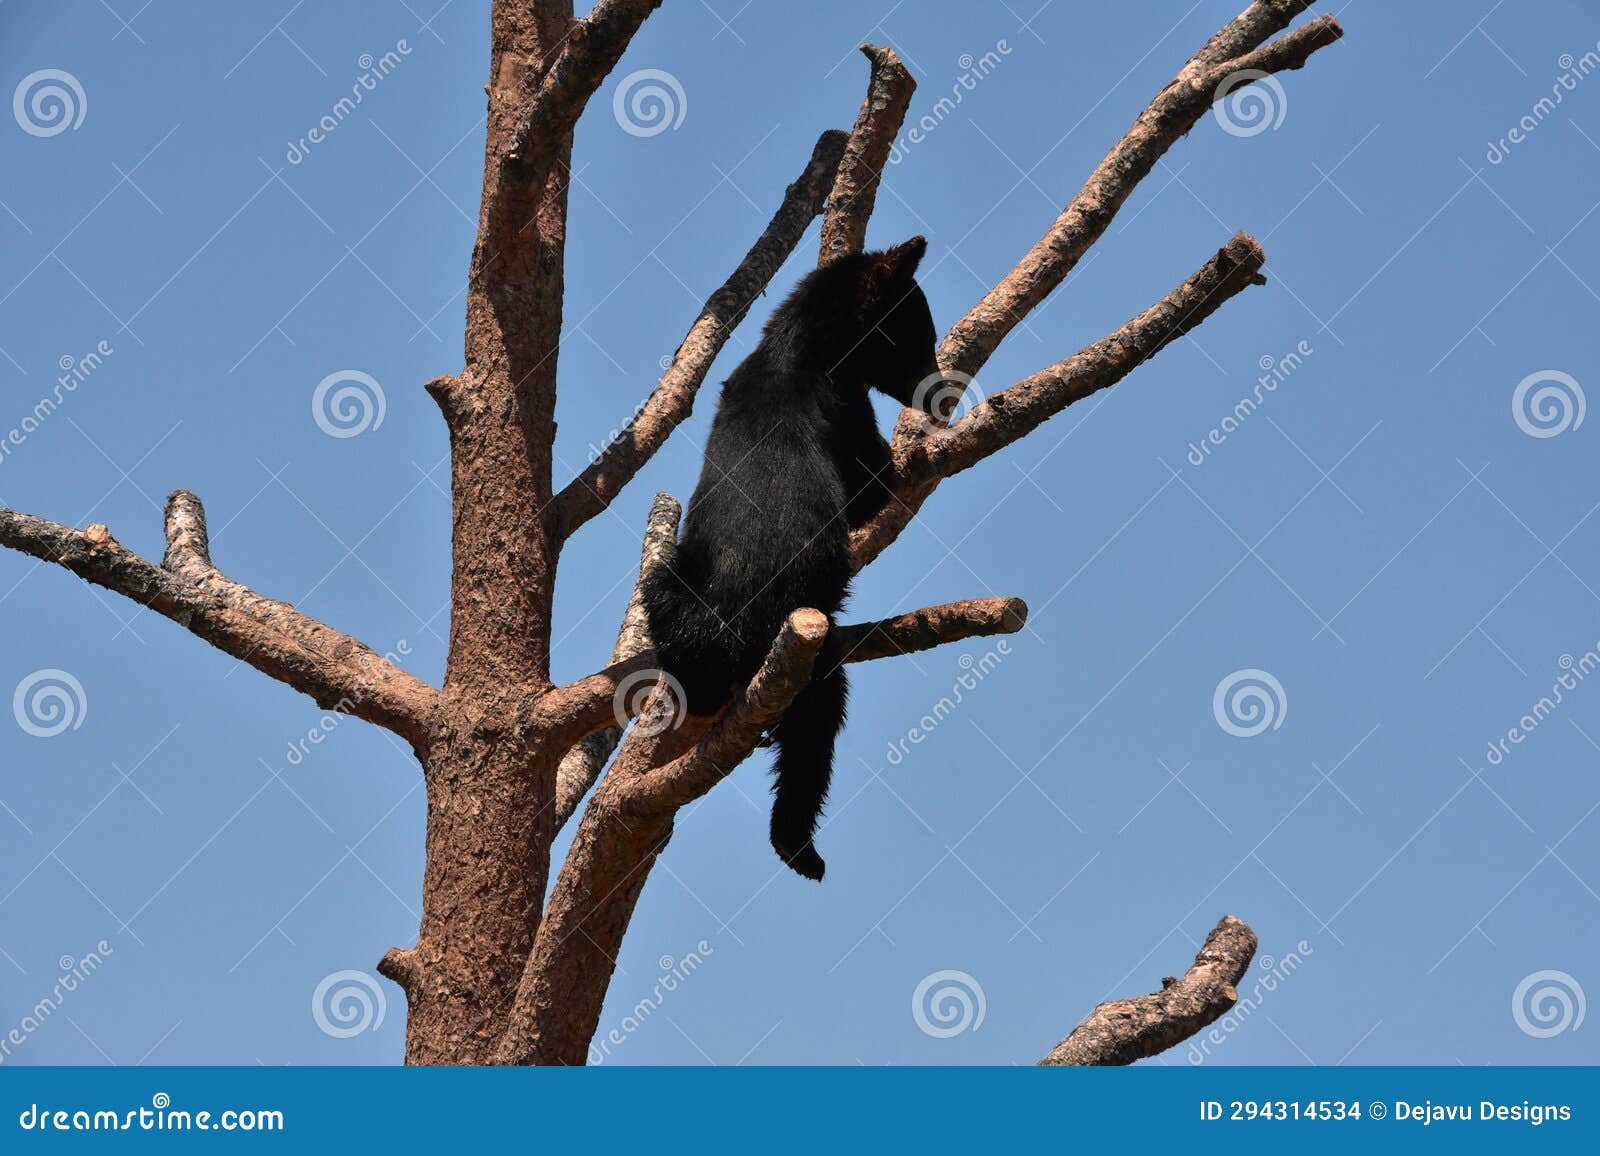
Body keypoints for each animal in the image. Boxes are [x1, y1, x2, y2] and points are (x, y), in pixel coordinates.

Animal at [642, 236, 940, 881]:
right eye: (916, 333)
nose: (943, 394)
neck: (799, 348)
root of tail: (722, 629)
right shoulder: (848, 416)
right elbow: (872, 488)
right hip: (801, 653)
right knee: (816, 728)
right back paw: (799, 846)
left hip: (672, 587)